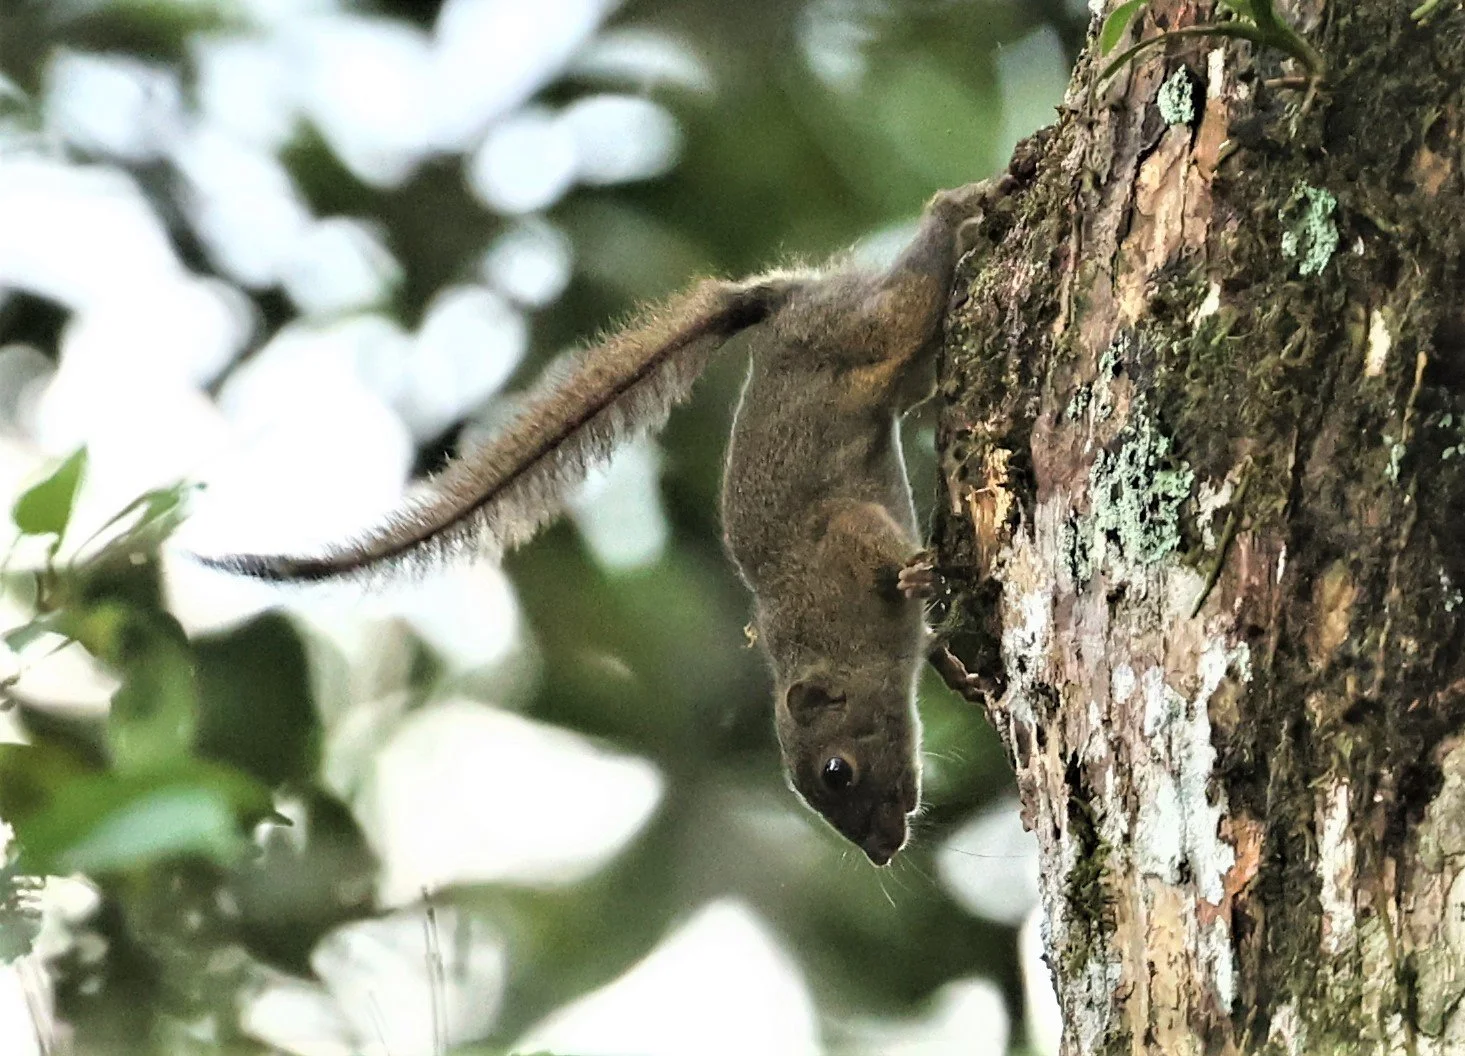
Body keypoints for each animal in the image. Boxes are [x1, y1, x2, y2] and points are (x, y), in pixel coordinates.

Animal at [202, 176, 1014, 866]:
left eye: (836, 771)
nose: (880, 851)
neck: (826, 633)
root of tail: (777, 302)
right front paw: (953, 663)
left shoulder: (835, 542)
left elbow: (874, 546)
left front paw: (920, 577)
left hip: (865, 332)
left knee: (913, 281)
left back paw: (962, 208)